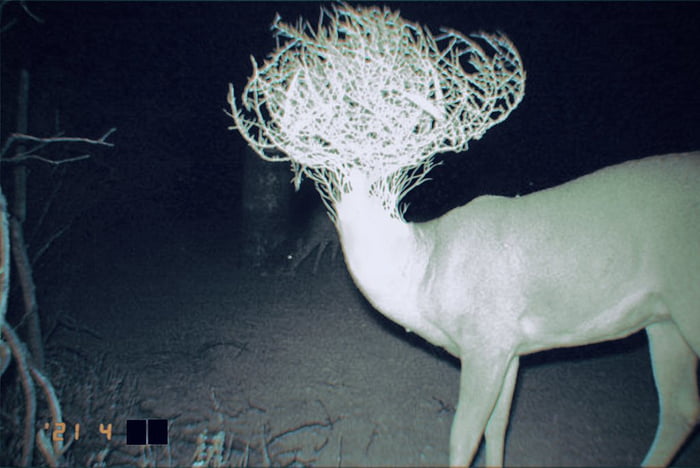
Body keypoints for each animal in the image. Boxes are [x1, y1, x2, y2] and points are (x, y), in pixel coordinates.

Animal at [227, 4, 700, 466]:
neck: (421, 270)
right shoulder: (511, 349)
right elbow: (498, 427)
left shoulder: (488, 337)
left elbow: (463, 437)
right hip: (662, 319)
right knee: (681, 408)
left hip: (685, 303)